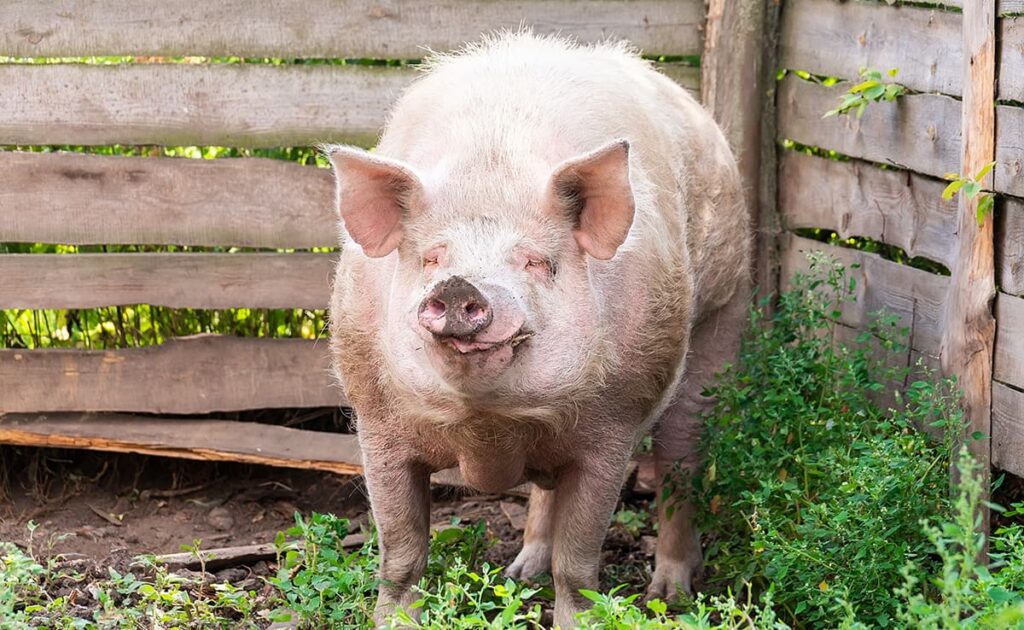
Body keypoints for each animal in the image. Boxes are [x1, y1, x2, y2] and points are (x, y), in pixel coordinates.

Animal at [325, 32, 750, 628]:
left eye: (536, 262)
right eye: (432, 258)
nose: (458, 287)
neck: (489, 423)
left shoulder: (613, 430)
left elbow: (579, 563)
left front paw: (582, 618)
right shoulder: (376, 420)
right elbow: (401, 553)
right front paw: (390, 620)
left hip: (722, 313)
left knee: (679, 463)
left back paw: (671, 595)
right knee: (546, 492)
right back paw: (520, 573)